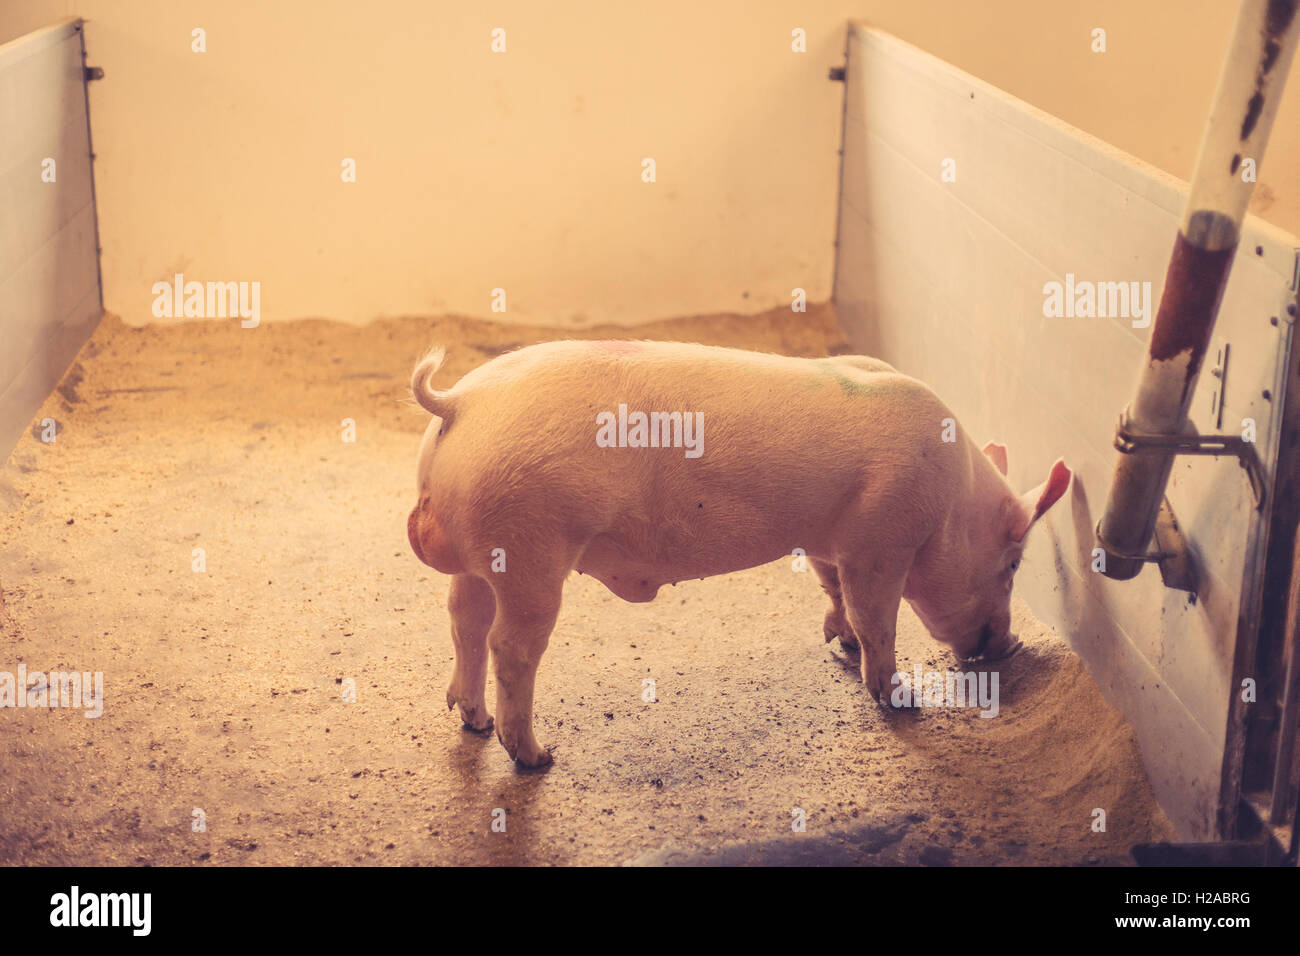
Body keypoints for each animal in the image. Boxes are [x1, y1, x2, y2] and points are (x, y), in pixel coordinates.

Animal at [407, 340, 1070, 767]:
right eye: (1013, 564)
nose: (1010, 644)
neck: (951, 503)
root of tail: (460, 403)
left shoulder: (830, 541)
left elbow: (833, 591)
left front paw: (838, 642)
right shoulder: (880, 543)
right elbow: (876, 620)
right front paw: (901, 700)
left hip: (483, 558)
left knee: (464, 619)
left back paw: (474, 720)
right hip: (531, 550)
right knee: (510, 646)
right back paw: (537, 757)